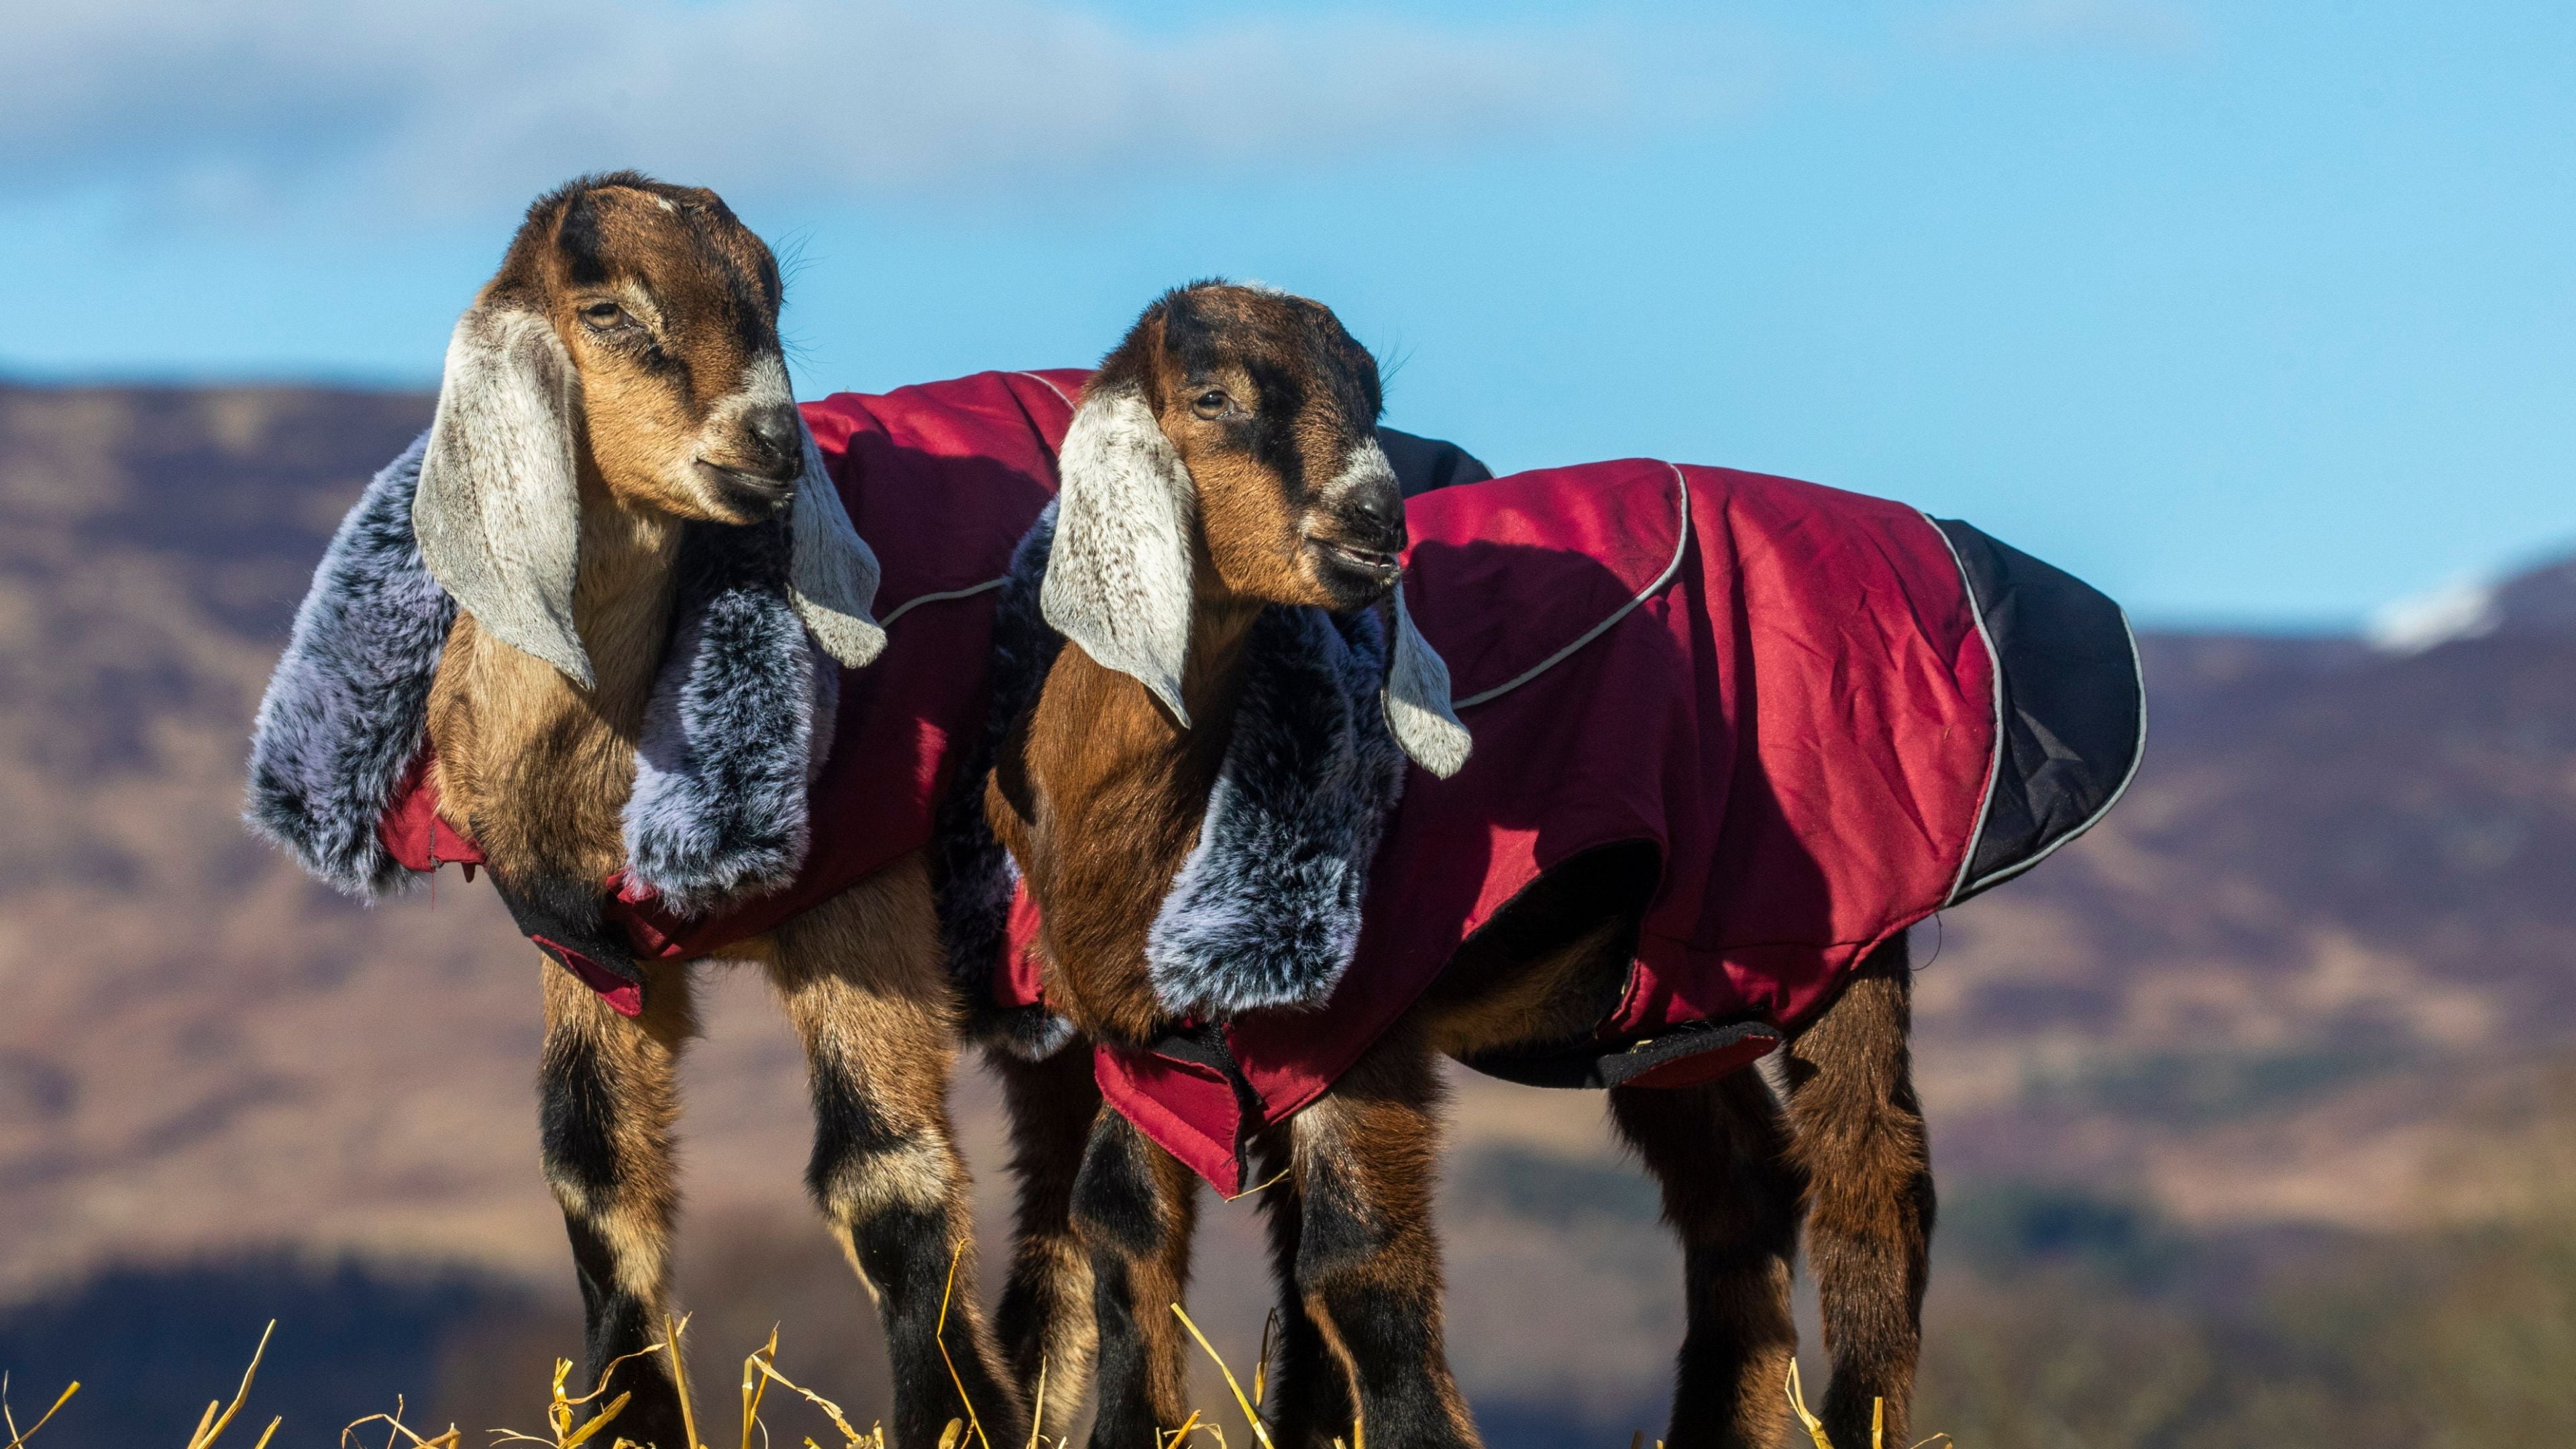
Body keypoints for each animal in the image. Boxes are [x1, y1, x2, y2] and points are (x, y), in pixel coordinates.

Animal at [254, 175, 1028, 1448]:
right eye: (608, 311)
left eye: (771, 297)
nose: (770, 444)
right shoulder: (586, 949)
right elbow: (594, 1173)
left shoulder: (863, 897)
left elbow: (885, 1174)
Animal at [979, 283, 1967, 1449]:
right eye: (1213, 397)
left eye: (1375, 399)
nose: (1376, 524)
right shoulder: (1141, 1036)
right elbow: (1122, 1228)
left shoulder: (1361, 1015)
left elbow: (1356, 1261)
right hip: (1654, 990)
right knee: (1741, 1183)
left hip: (1850, 911)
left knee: (1873, 1177)